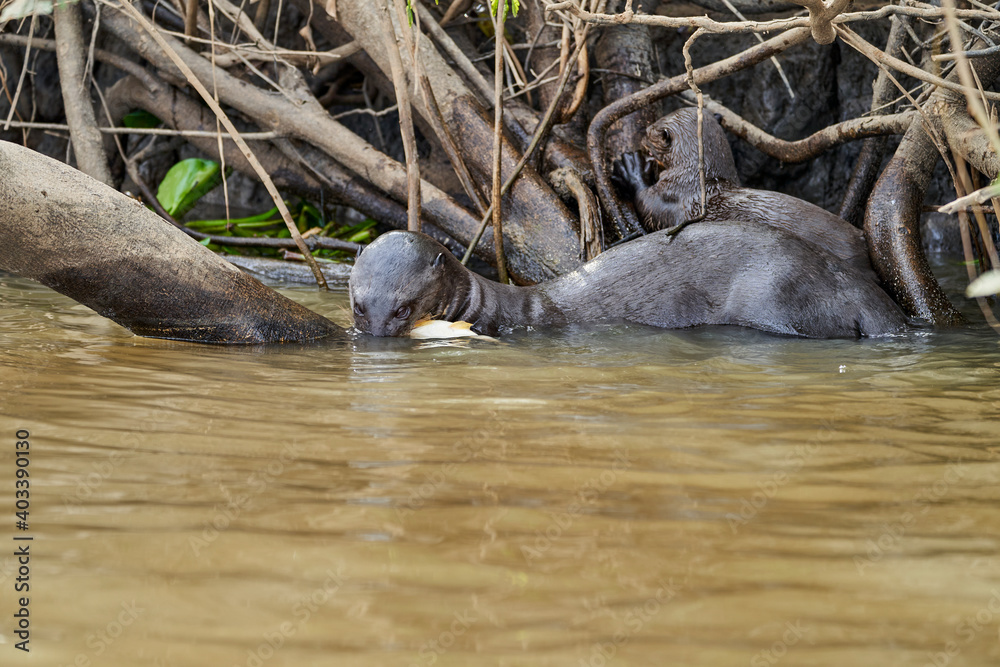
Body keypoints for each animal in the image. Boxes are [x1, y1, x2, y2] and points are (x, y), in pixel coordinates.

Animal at [613, 108, 873, 273]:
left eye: (649, 132)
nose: (643, 134)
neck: (697, 181)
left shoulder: (670, 199)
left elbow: (645, 205)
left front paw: (630, 168)